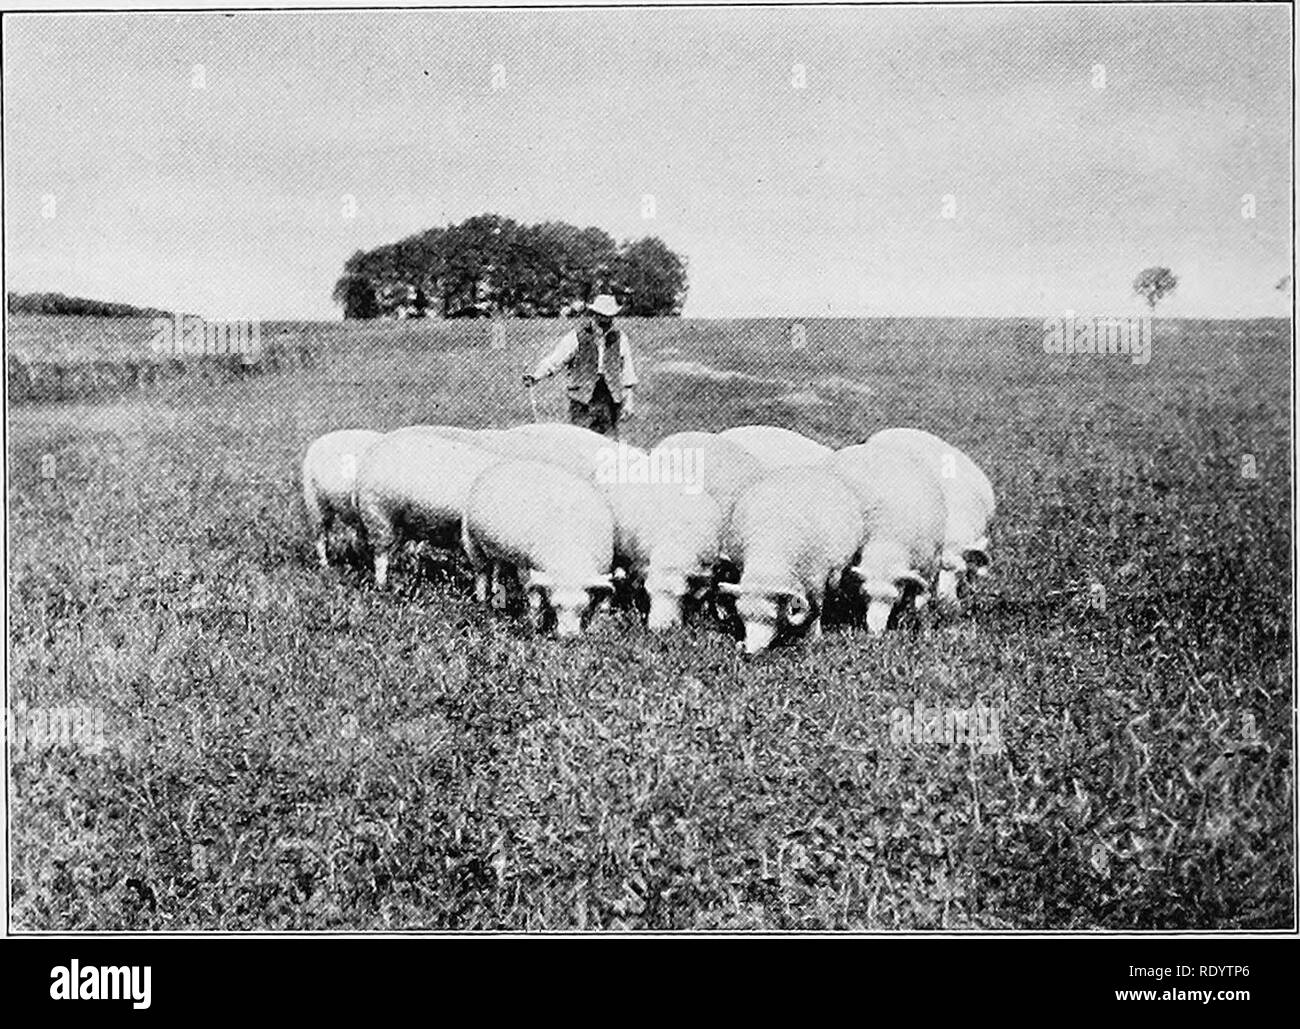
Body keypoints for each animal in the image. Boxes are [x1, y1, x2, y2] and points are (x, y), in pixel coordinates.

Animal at [461, 459, 616, 637]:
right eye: (556, 605)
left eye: (582, 606)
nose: (569, 636)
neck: (570, 554)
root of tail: (501, 464)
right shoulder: (527, 570)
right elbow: (535, 602)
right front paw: (534, 626)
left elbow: (603, 605)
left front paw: (598, 629)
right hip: (472, 542)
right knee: (481, 573)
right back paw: (481, 602)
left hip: (501, 550)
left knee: (496, 569)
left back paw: (496, 594)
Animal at [719, 467, 864, 654]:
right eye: (743, 617)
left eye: (770, 618)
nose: (750, 652)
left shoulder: (817, 580)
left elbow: (817, 608)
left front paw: (815, 636)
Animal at [830, 442, 947, 634]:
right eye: (866, 595)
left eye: (893, 598)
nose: (875, 632)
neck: (886, 539)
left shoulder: (928, 567)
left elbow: (921, 602)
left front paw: (924, 629)